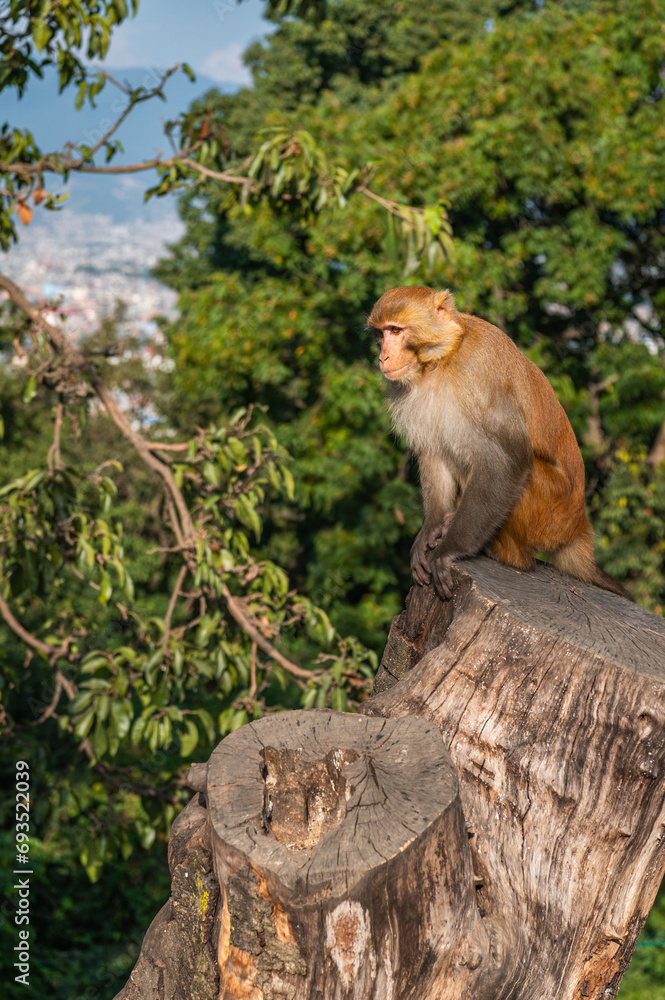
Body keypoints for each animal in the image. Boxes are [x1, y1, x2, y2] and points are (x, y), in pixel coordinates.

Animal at [368, 285, 629, 601]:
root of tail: (578, 526)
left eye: (396, 330)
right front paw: (428, 532)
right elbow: (435, 455)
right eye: (380, 334)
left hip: (552, 510)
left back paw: (502, 553)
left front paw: (449, 550)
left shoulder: (477, 369)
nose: (383, 357)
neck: (442, 359)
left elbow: (508, 458)